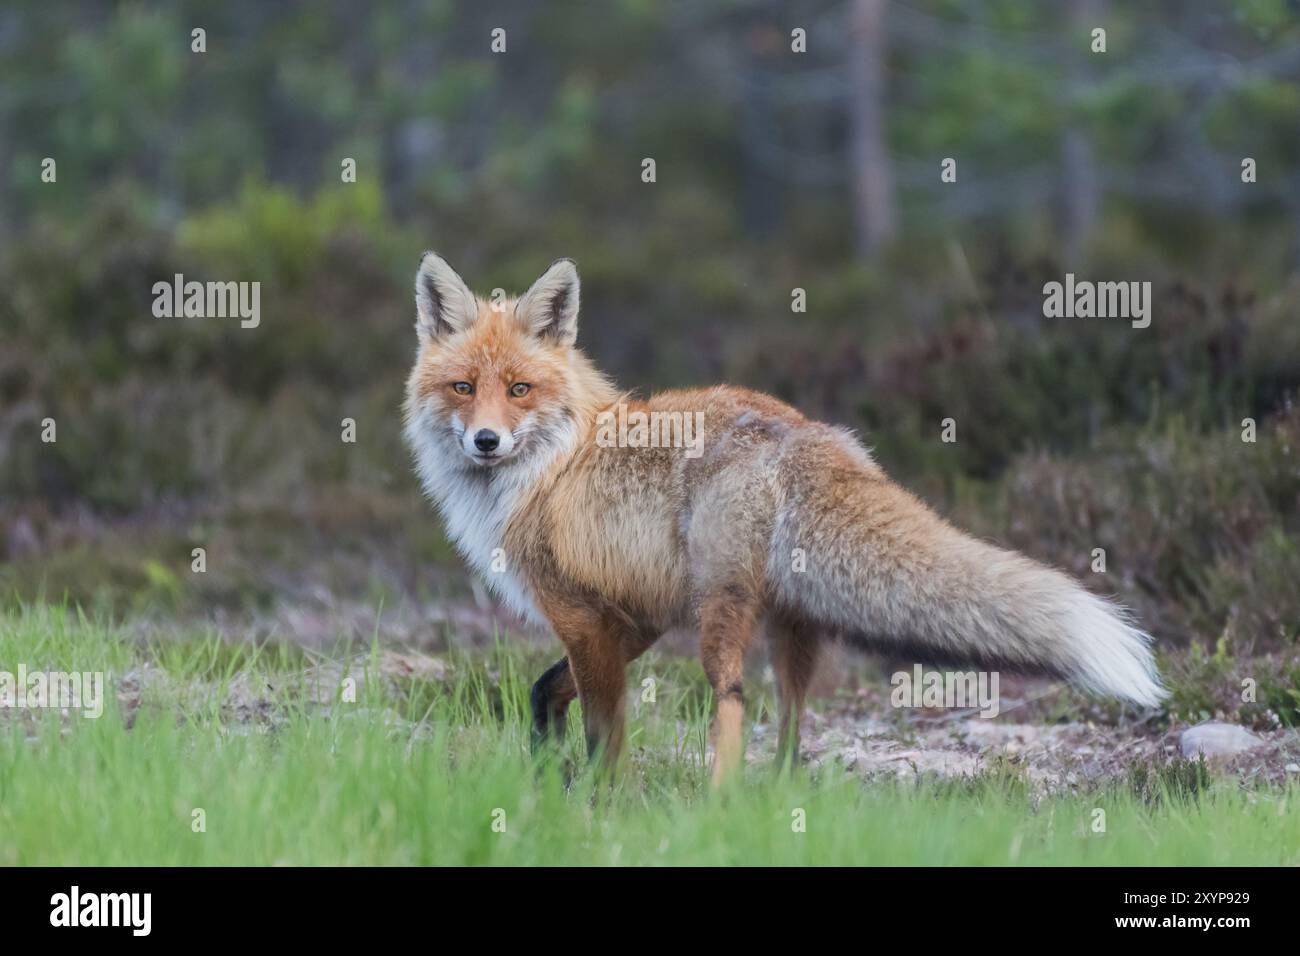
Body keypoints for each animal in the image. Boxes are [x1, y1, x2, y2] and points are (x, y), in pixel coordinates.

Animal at [402, 253, 1166, 785]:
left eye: (520, 389)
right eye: (463, 387)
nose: (485, 442)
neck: (552, 465)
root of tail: (805, 433)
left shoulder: (585, 617)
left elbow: (604, 738)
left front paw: (596, 801)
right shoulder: (634, 619)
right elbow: (543, 693)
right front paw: (544, 768)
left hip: (722, 612)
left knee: (733, 701)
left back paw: (721, 810)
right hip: (794, 624)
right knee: (796, 721)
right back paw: (777, 805)